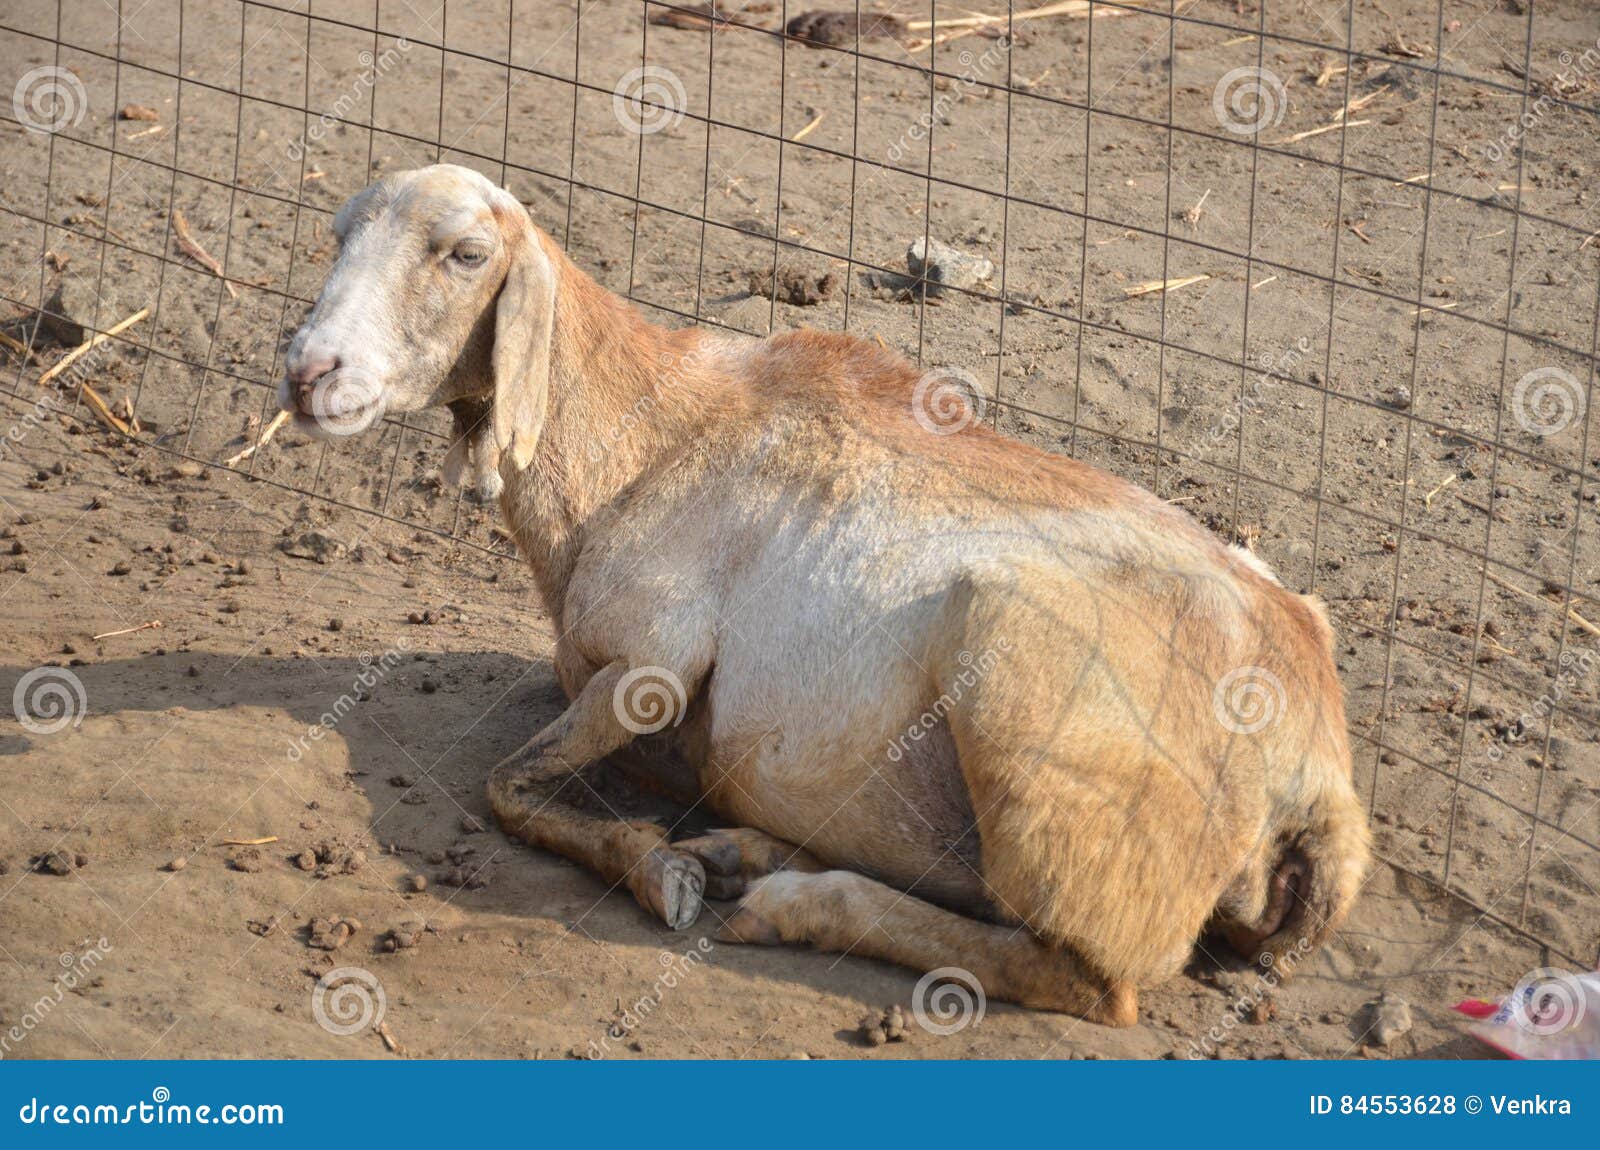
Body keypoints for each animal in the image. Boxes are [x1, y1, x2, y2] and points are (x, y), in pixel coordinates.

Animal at [281, 164, 1370, 1025]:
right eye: (337, 233)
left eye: (465, 254)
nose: (307, 370)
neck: (639, 437)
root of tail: (1317, 766)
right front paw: (679, 855)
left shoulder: (656, 661)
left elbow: (507, 784)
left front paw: (661, 873)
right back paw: (747, 855)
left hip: (1047, 750)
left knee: (1088, 979)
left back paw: (791, 900)